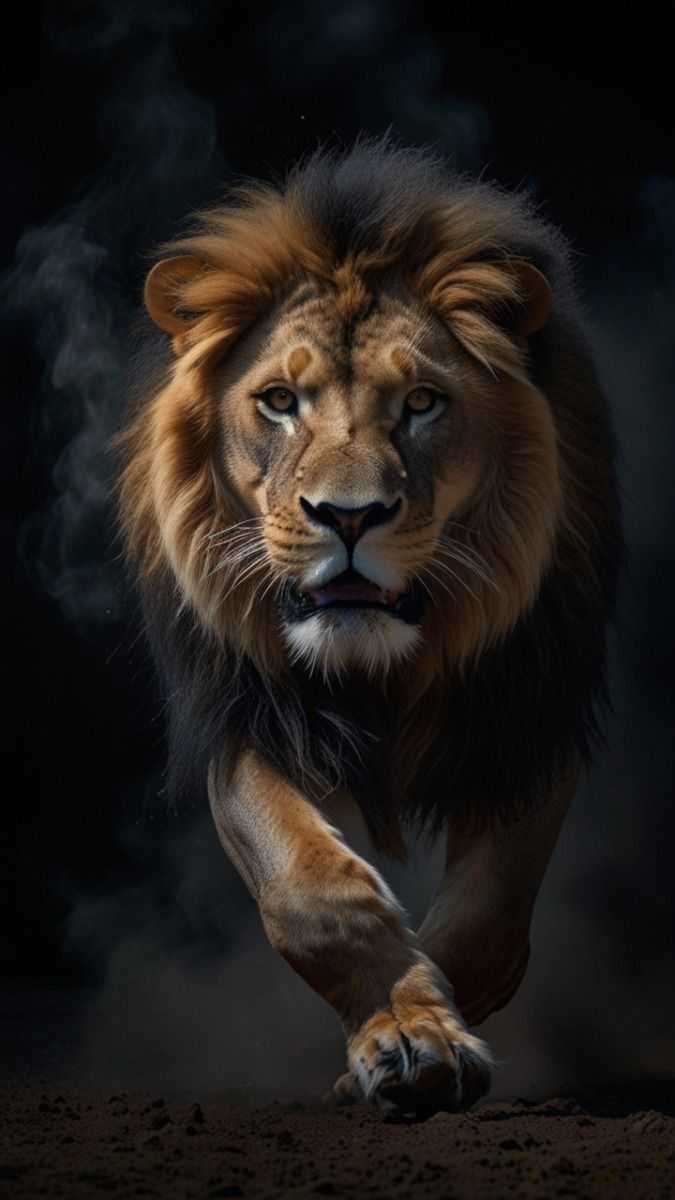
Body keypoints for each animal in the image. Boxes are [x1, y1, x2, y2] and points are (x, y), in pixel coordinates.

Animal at [117, 138, 621, 1118]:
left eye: (421, 402)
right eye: (279, 401)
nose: (347, 516)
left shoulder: (531, 716)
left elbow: (488, 910)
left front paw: (425, 1036)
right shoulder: (246, 713)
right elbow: (315, 895)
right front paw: (402, 1032)